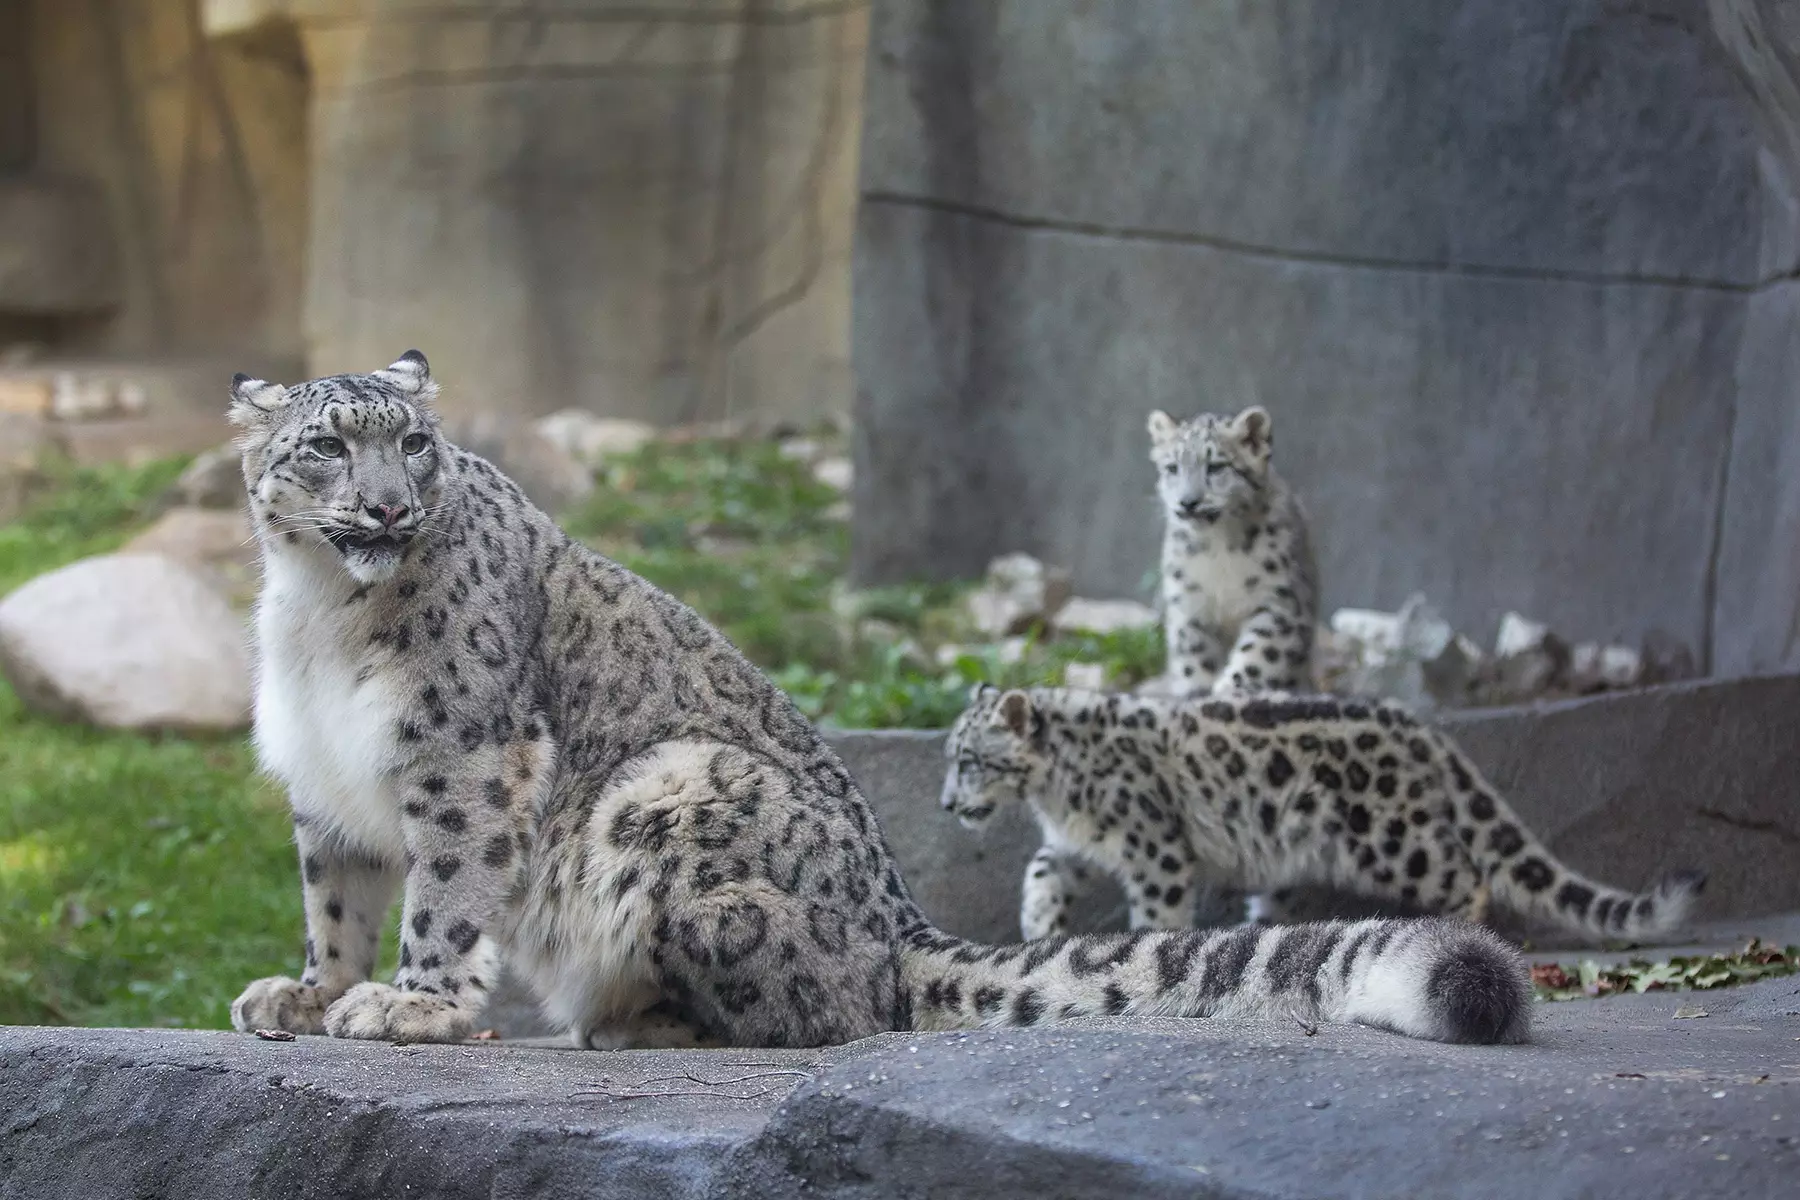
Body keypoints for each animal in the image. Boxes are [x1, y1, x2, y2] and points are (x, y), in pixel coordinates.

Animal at [225, 352, 1533, 1043]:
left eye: (415, 444)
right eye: (326, 446)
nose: (388, 506)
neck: (320, 615)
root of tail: (899, 916)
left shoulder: (462, 756)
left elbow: (444, 891)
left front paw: (408, 1006)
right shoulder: (328, 778)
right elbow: (337, 894)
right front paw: (306, 989)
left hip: (669, 793)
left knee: (837, 1008)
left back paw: (642, 1019)